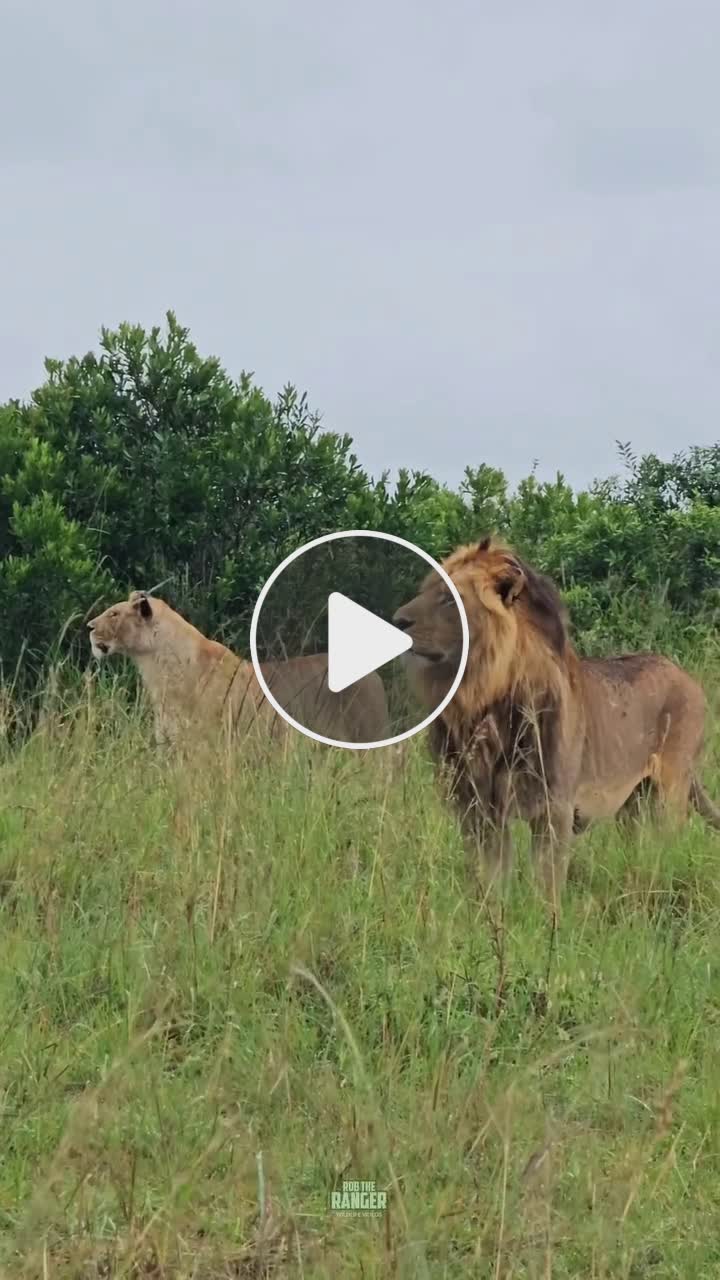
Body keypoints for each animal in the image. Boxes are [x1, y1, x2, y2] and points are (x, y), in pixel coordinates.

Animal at [393, 537, 720, 910]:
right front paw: (489, 916)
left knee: (665, 843)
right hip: (632, 804)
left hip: (670, 790)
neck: (481, 694)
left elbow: (547, 881)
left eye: (450, 598)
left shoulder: (554, 806)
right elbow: (489, 879)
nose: (397, 620)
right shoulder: (476, 808)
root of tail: (688, 678)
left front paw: (545, 920)